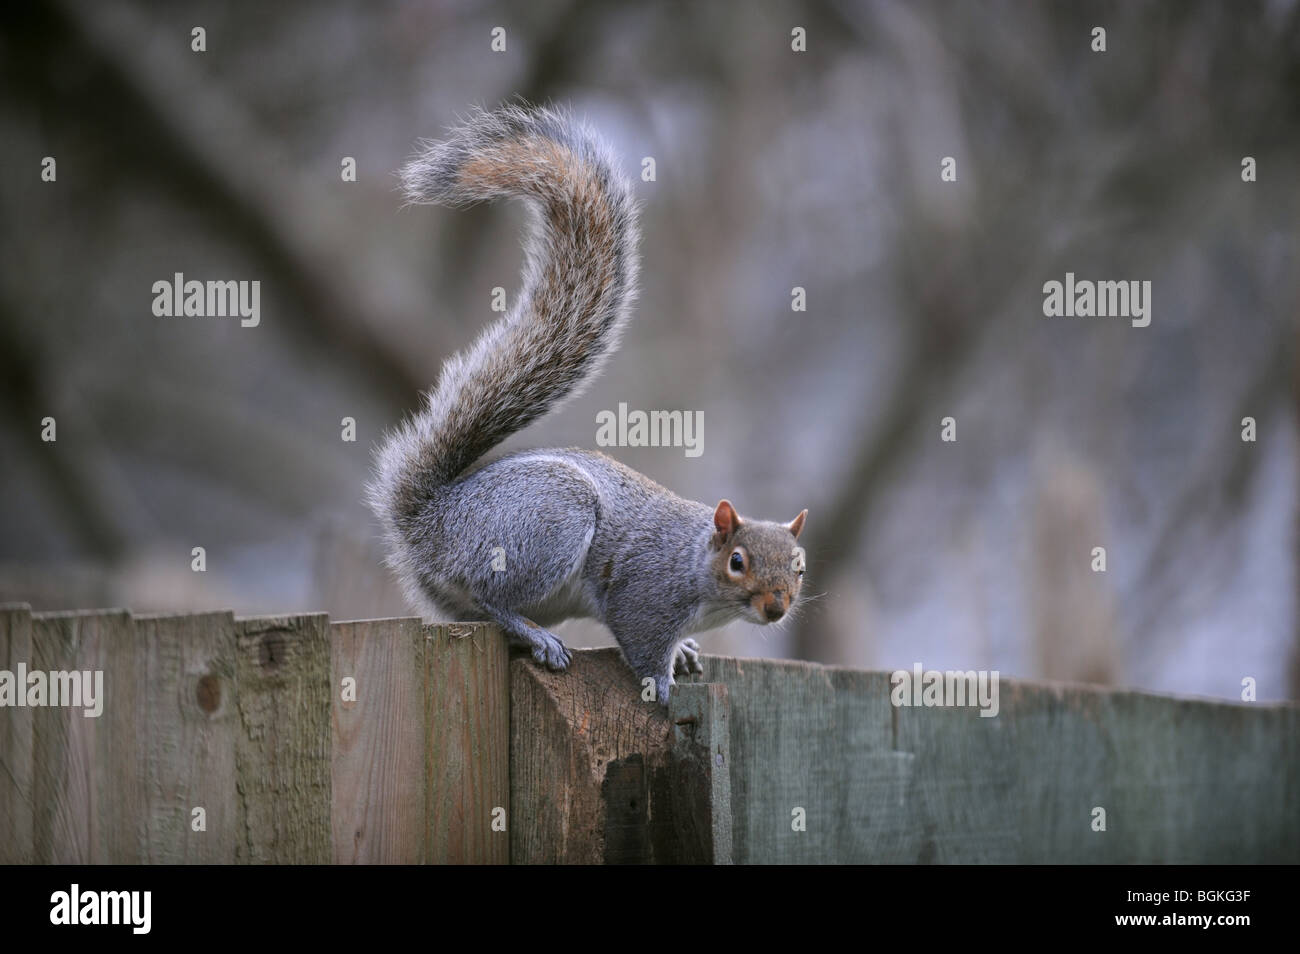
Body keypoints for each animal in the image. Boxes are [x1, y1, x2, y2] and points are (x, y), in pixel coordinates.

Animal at [368, 103, 808, 705]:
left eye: (800, 568)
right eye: (738, 561)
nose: (776, 608)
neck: (697, 562)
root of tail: (427, 528)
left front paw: (687, 653)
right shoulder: (644, 595)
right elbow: (641, 641)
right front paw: (662, 683)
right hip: (548, 522)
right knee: (489, 599)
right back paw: (537, 637)